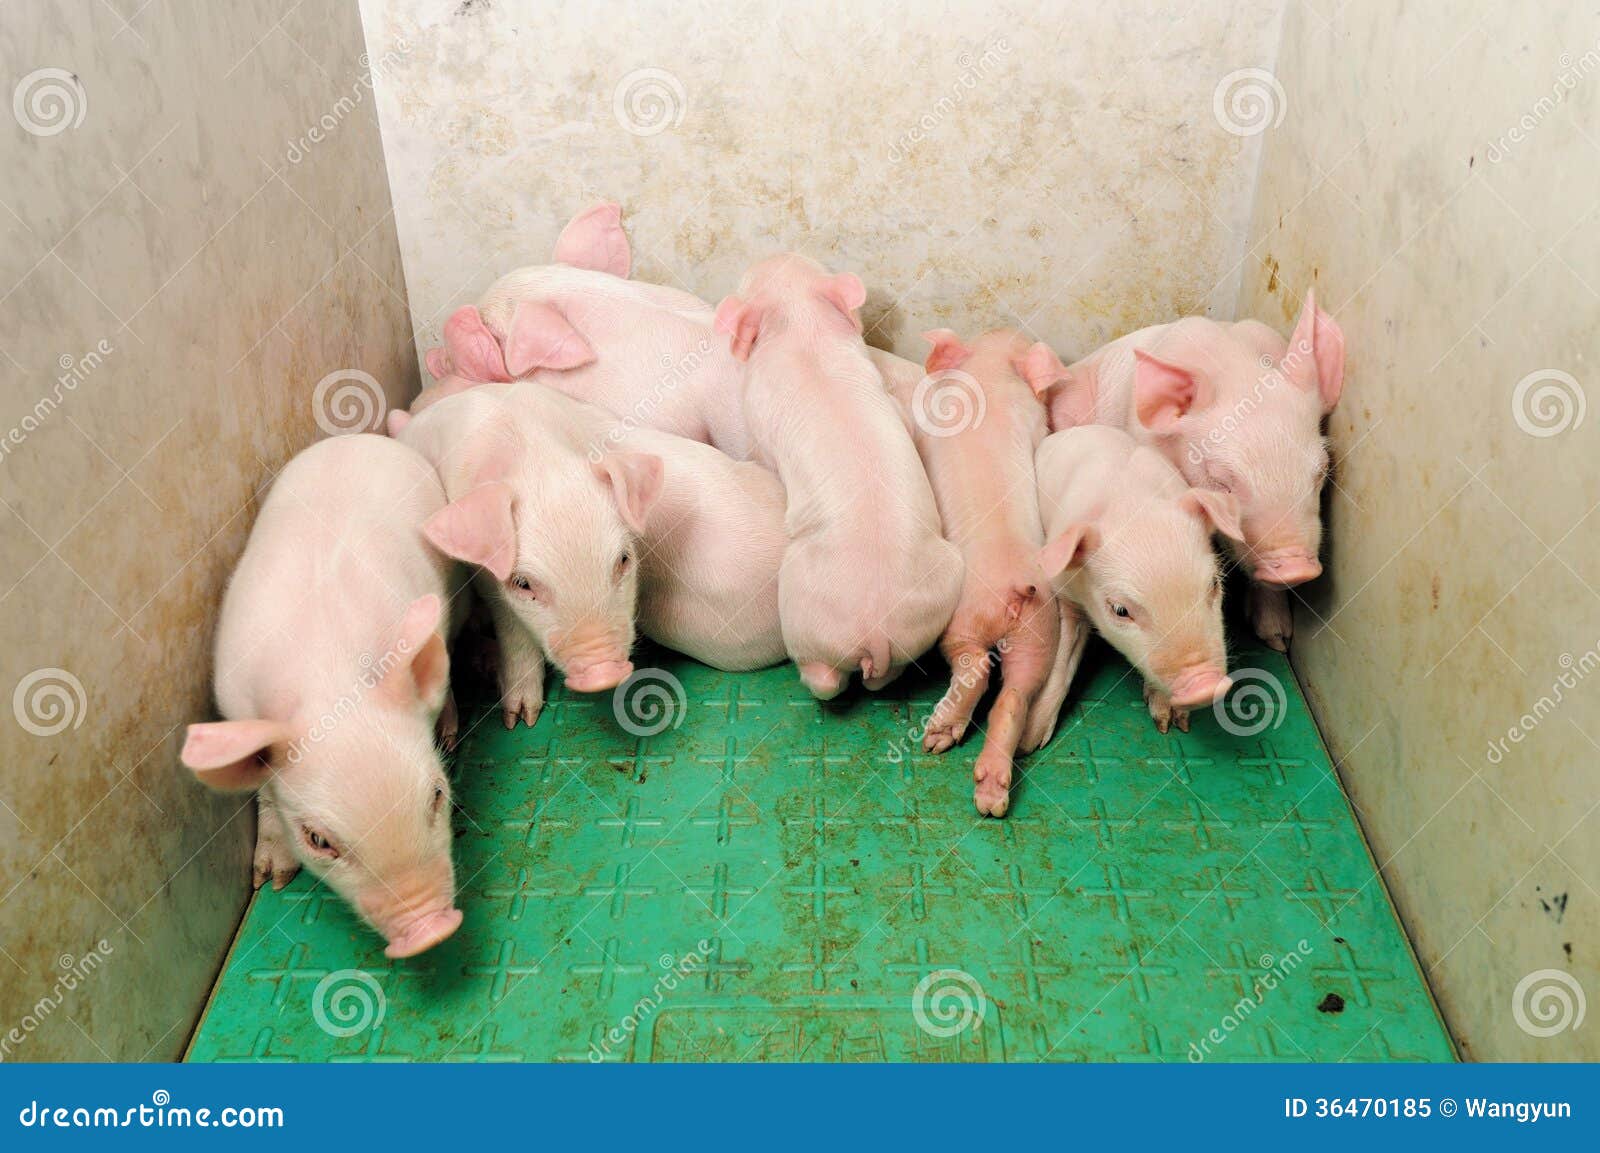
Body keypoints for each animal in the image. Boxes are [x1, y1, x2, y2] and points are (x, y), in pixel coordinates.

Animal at [180, 434, 467, 958]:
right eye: (317, 840)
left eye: (437, 795)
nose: (429, 931)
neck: (327, 679)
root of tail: (359, 438)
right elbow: (264, 791)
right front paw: (272, 881)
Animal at [714, 254, 963, 698]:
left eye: (749, 281)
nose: (775, 254)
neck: (801, 326)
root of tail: (877, 632)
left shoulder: (757, 420)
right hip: (938, 593)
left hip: (800, 605)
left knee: (824, 678)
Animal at [911, 328, 1065, 817]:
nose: (1007, 330)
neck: (992, 376)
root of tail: (1015, 584)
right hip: (1040, 632)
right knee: (1014, 697)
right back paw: (991, 799)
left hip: (963, 620)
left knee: (976, 667)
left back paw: (937, 738)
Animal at [1033, 425, 1244, 733]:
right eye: (1120, 610)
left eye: (1214, 585)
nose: (1204, 684)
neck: (1130, 505)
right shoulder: (1064, 590)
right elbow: (1064, 652)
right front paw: (1032, 738)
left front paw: (1170, 724)